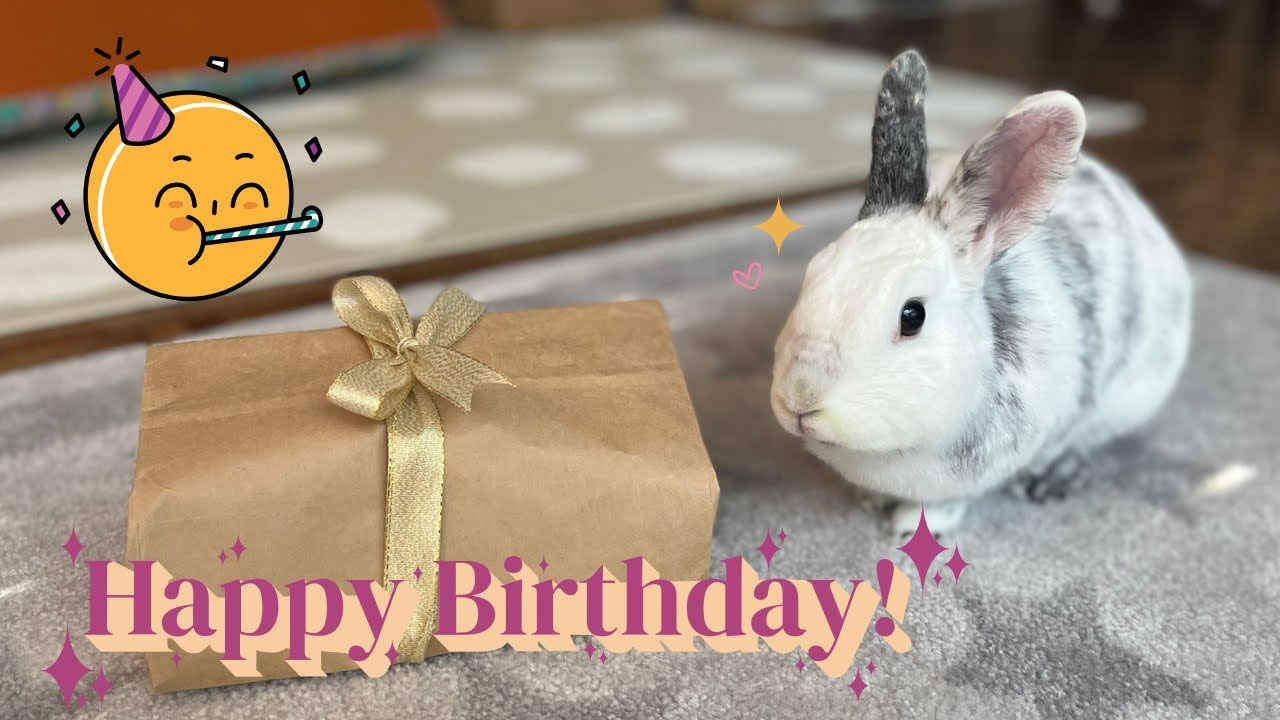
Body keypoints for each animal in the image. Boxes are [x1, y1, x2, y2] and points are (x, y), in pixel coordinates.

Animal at [770, 50, 1192, 536]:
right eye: (813, 272)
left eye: (912, 316)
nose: (801, 400)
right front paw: (871, 501)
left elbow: (949, 502)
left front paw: (914, 528)